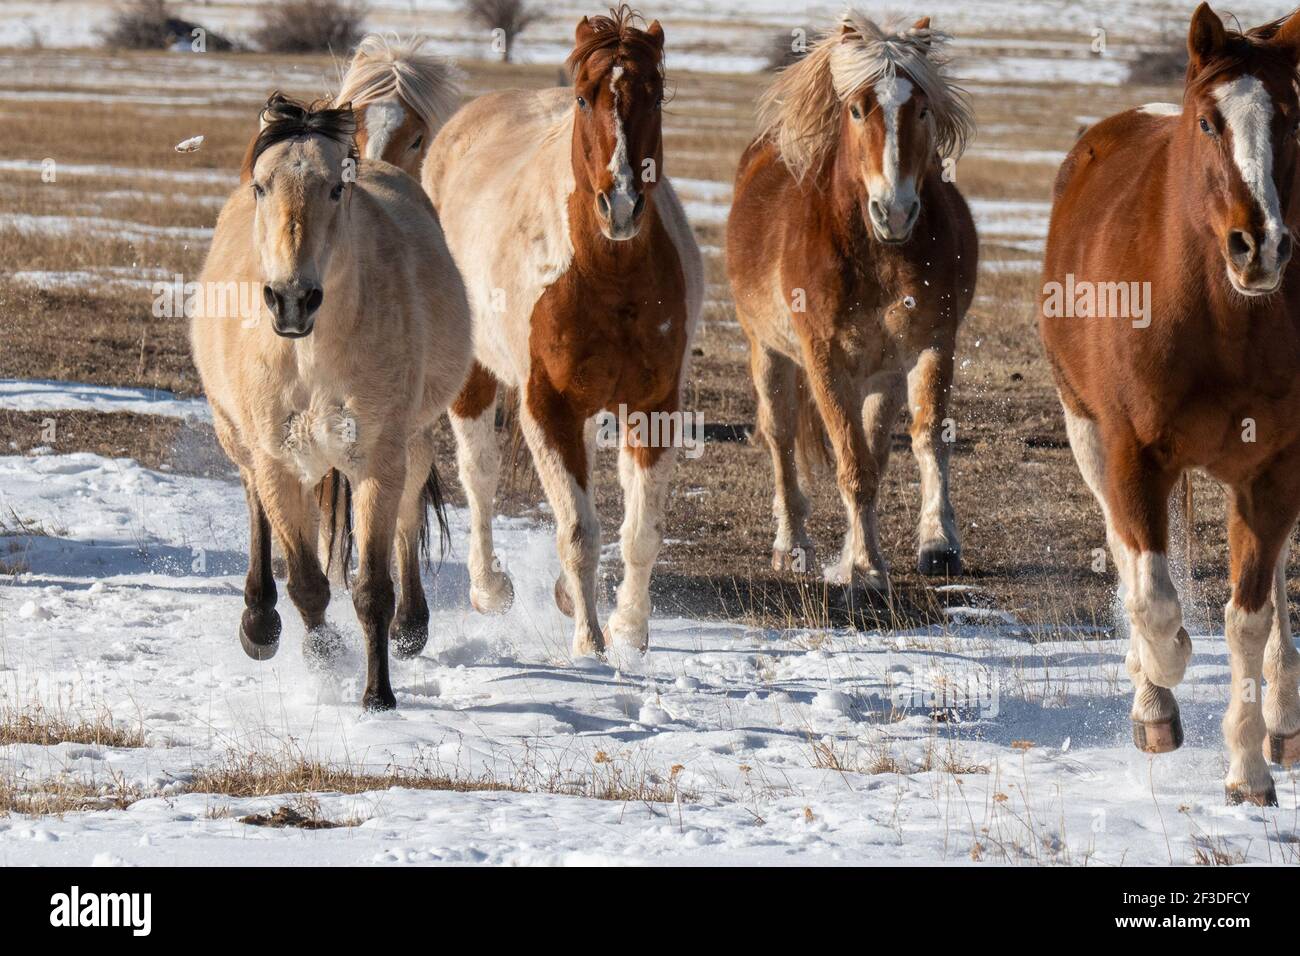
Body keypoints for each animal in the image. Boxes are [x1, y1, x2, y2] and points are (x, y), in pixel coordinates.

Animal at [190, 93, 472, 711]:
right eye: (261, 187)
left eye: (338, 189)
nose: (292, 299)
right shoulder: (276, 460)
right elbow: (306, 582)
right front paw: (321, 657)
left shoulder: (378, 459)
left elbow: (372, 588)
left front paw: (378, 695)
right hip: (239, 437)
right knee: (254, 504)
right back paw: (259, 622)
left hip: (413, 439)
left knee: (409, 513)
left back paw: (411, 628)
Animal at [422, 6, 702, 658]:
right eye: (582, 97)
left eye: (655, 95)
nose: (619, 205)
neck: (610, 275)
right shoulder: (548, 408)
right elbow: (577, 531)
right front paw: (590, 644)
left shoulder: (654, 404)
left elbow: (640, 529)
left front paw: (629, 628)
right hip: (474, 378)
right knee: (480, 474)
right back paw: (488, 588)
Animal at [726, 12, 976, 594]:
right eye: (859, 109)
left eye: (922, 108)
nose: (895, 211)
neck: (875, 255)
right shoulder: (824, 360)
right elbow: (852, 464)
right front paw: (863, 566)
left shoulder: (927, 347)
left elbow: (924, 440)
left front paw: (938, 544)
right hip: (769, 354)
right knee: (780, 439)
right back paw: (791, 544)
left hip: (878, 376)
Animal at [1039, 3, 1300, 805]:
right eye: (1209, 123)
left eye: (1292, 117)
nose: (1260, 246)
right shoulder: (1133, 453)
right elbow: (1154, 602)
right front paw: (1159, 690)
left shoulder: (1275, 468)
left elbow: (1248, 619)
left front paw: (1248, 770)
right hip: (1086, 433)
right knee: (1128, 555)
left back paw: (1284, 719)